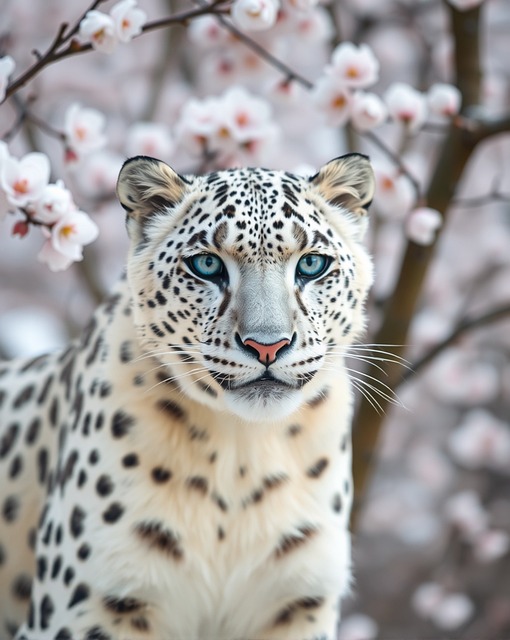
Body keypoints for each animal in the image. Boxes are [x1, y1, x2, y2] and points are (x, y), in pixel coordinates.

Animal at [0, 152, 375, 640]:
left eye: (311, 265)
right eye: (207, 266)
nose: (267, 345)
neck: (242, 456)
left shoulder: (297, 601)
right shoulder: (94, 603)